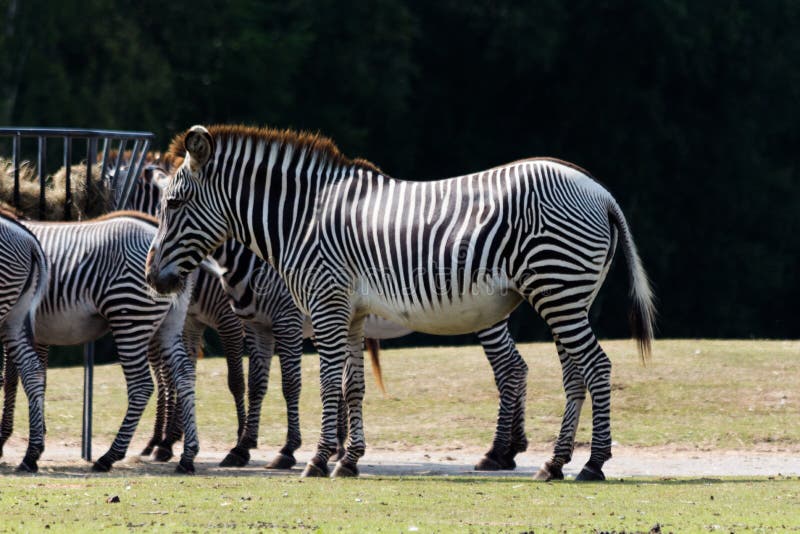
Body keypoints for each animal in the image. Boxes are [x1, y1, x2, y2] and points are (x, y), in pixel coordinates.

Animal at [18, 211, 199, 472]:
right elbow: (37, 380)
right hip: (170, 324)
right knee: (184, 375)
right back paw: (188, 456)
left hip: (130, 317)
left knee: (141, 385)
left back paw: (109, 456)